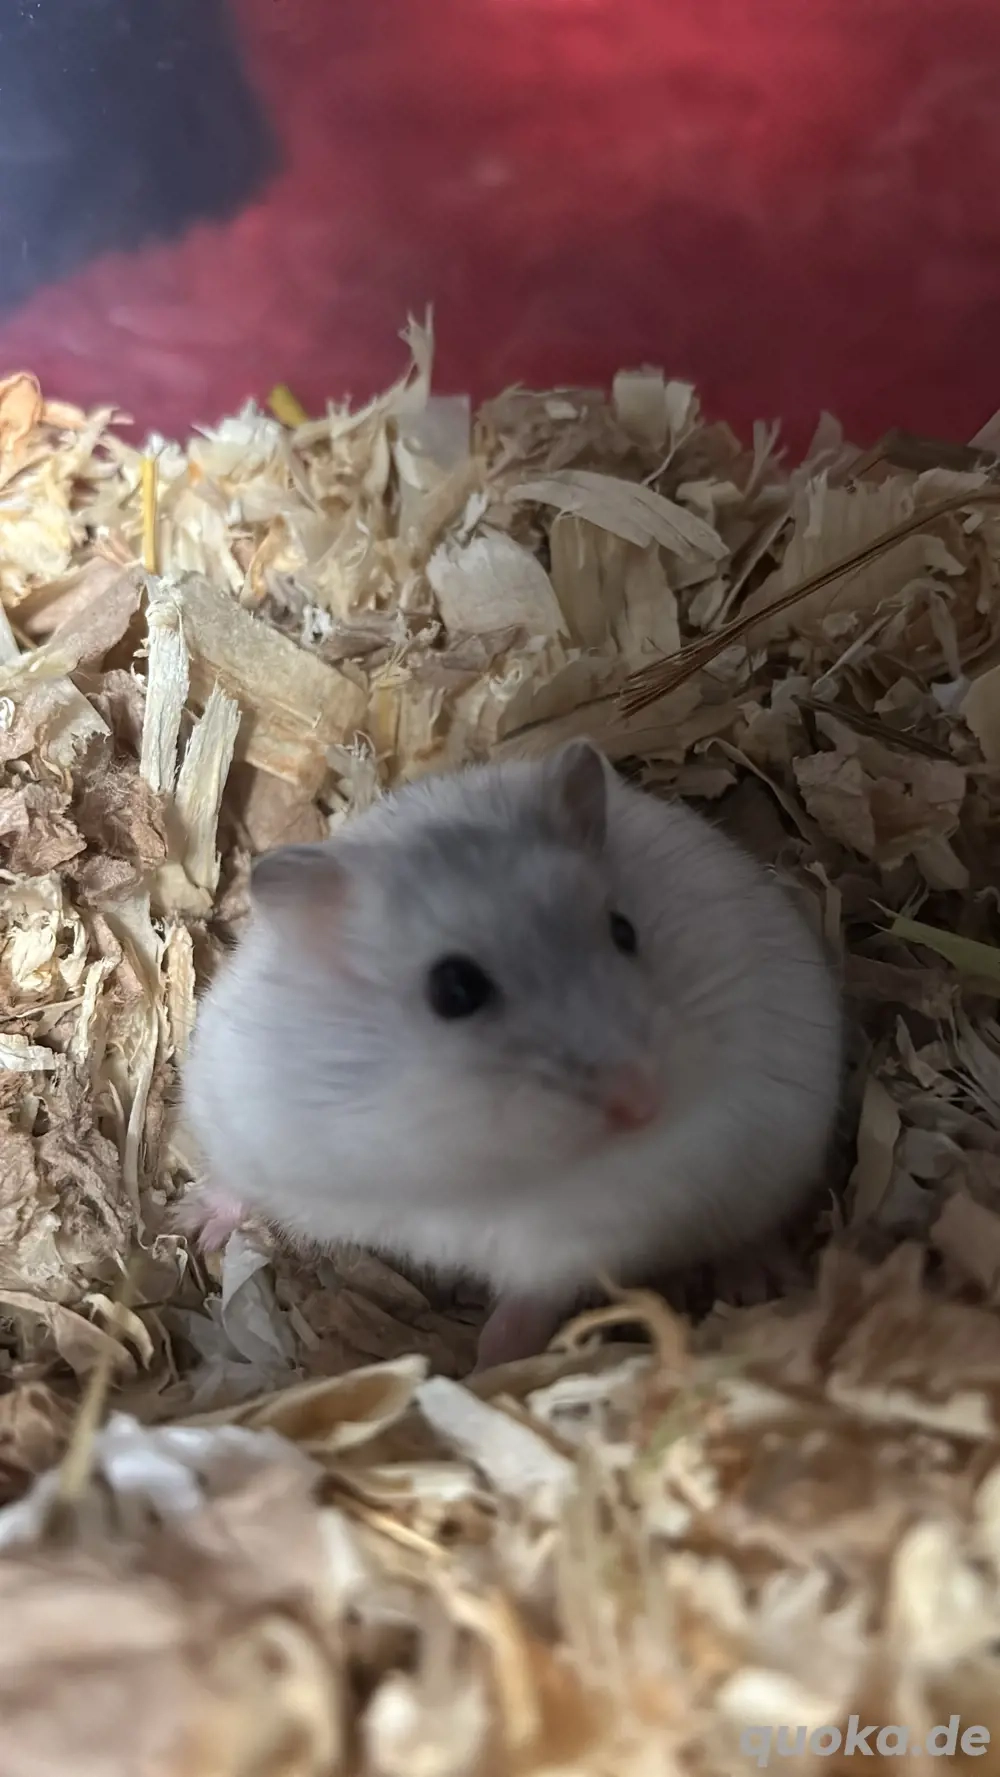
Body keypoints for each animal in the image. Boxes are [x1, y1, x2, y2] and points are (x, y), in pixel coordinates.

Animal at [181, 741, 842, 1369]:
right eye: (454, 989)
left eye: (625, 931)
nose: (644, 1103)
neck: (455, 1163)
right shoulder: (248, 1127)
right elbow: (235, 1182)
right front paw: (192, 1227)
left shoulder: (583, 1235)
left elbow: (532, 1302)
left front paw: (487, 1368)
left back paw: (756, 1283)